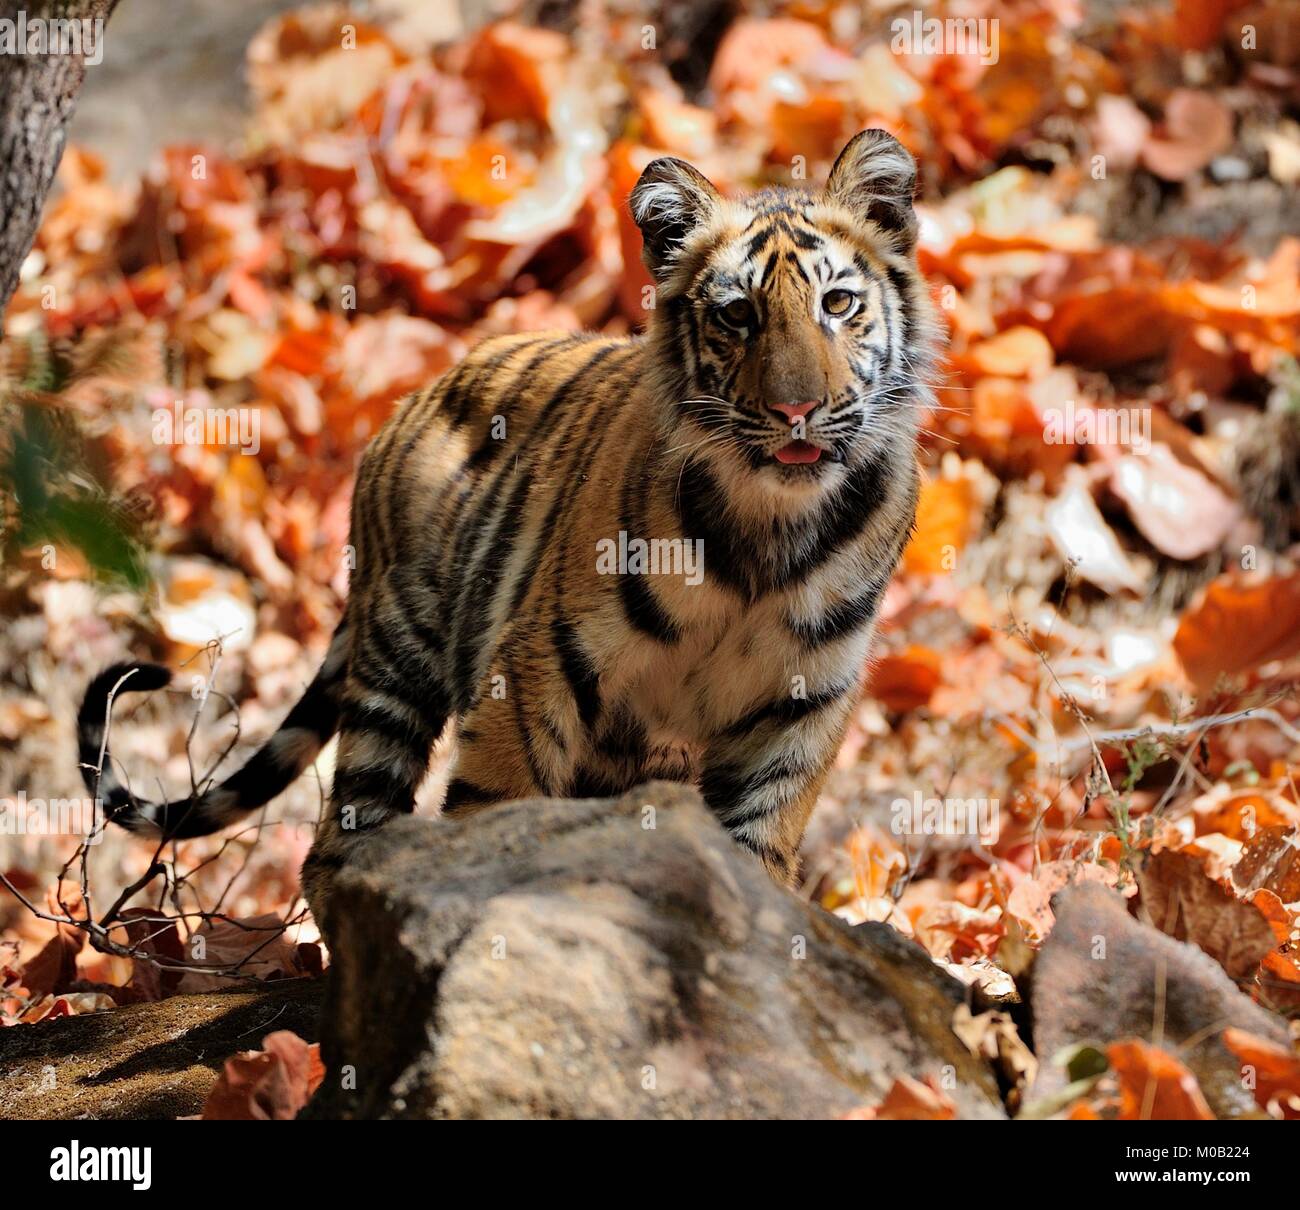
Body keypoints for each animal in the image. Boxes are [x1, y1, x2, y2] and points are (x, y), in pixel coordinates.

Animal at [77, 129, 939, 935]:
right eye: (738, 314)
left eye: (837, 304)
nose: (797, 410)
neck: (771, 528)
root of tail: (417, 393)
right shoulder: (539, 666)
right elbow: (500, 807)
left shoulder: (797, 705)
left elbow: (754, 853)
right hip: (401, 656)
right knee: (341, 832)